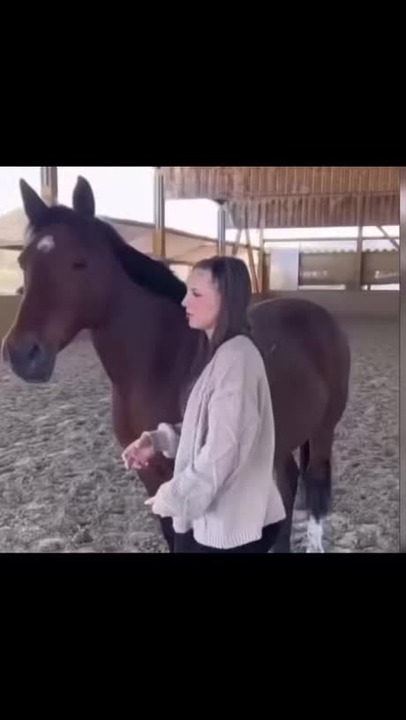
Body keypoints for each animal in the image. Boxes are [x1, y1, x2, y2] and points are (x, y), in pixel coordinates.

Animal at [1, 176, 351, 553]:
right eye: (23, 261)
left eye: (80, 263)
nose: (23, 354)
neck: (164, 365)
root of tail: (317, 315)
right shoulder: (152, 475)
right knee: (287, 484)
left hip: (323, 432)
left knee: (315, 485)